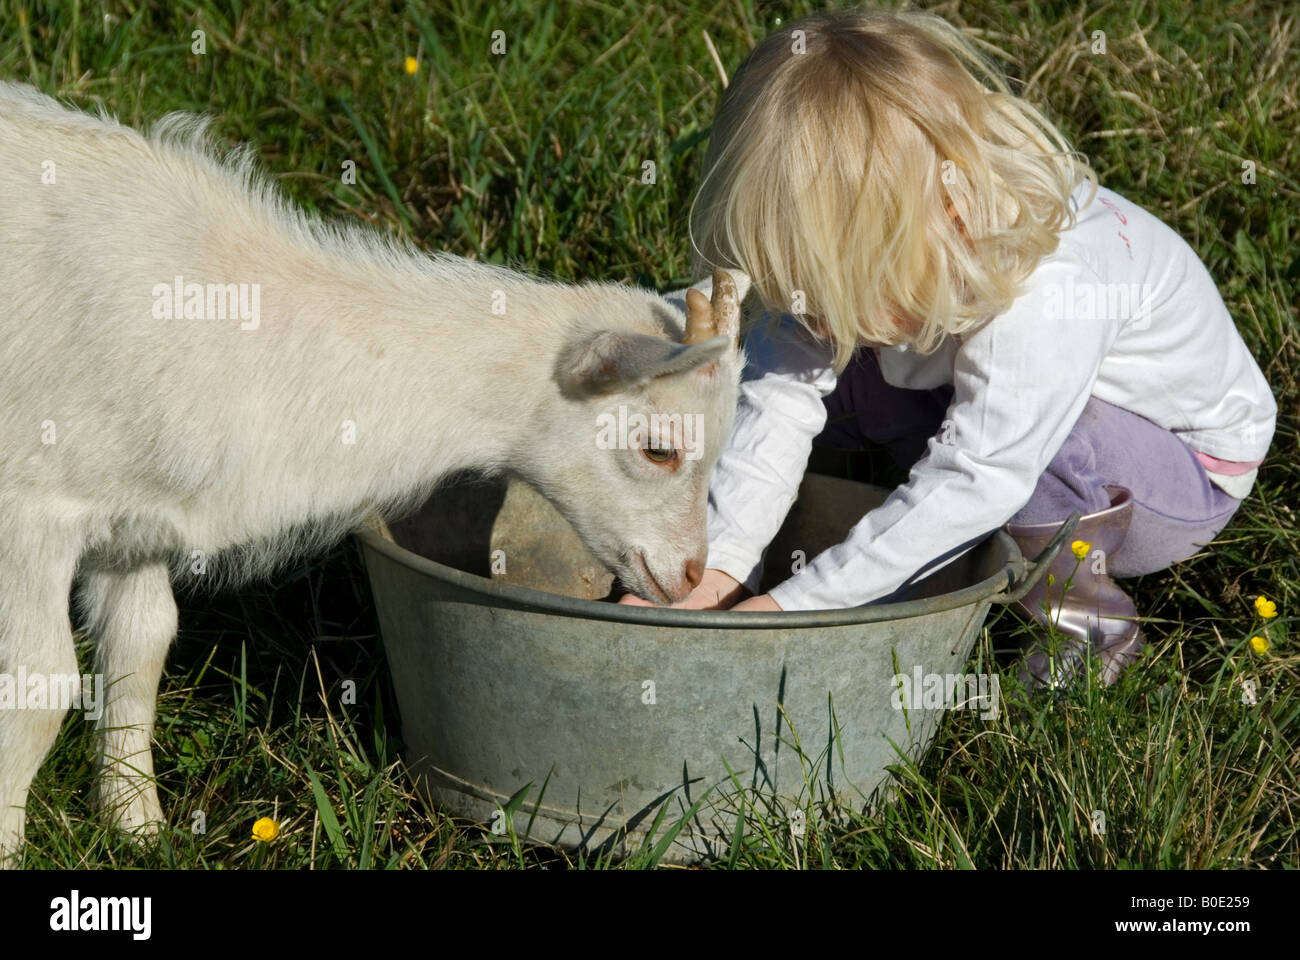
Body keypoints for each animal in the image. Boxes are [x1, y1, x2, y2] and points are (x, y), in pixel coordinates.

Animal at [0, 81, 749, 862]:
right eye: (659, 447)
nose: (690, 575)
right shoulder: (30, 510)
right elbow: (38, 685)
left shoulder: (142, 519)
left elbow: (140, 647)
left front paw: (136, 827)